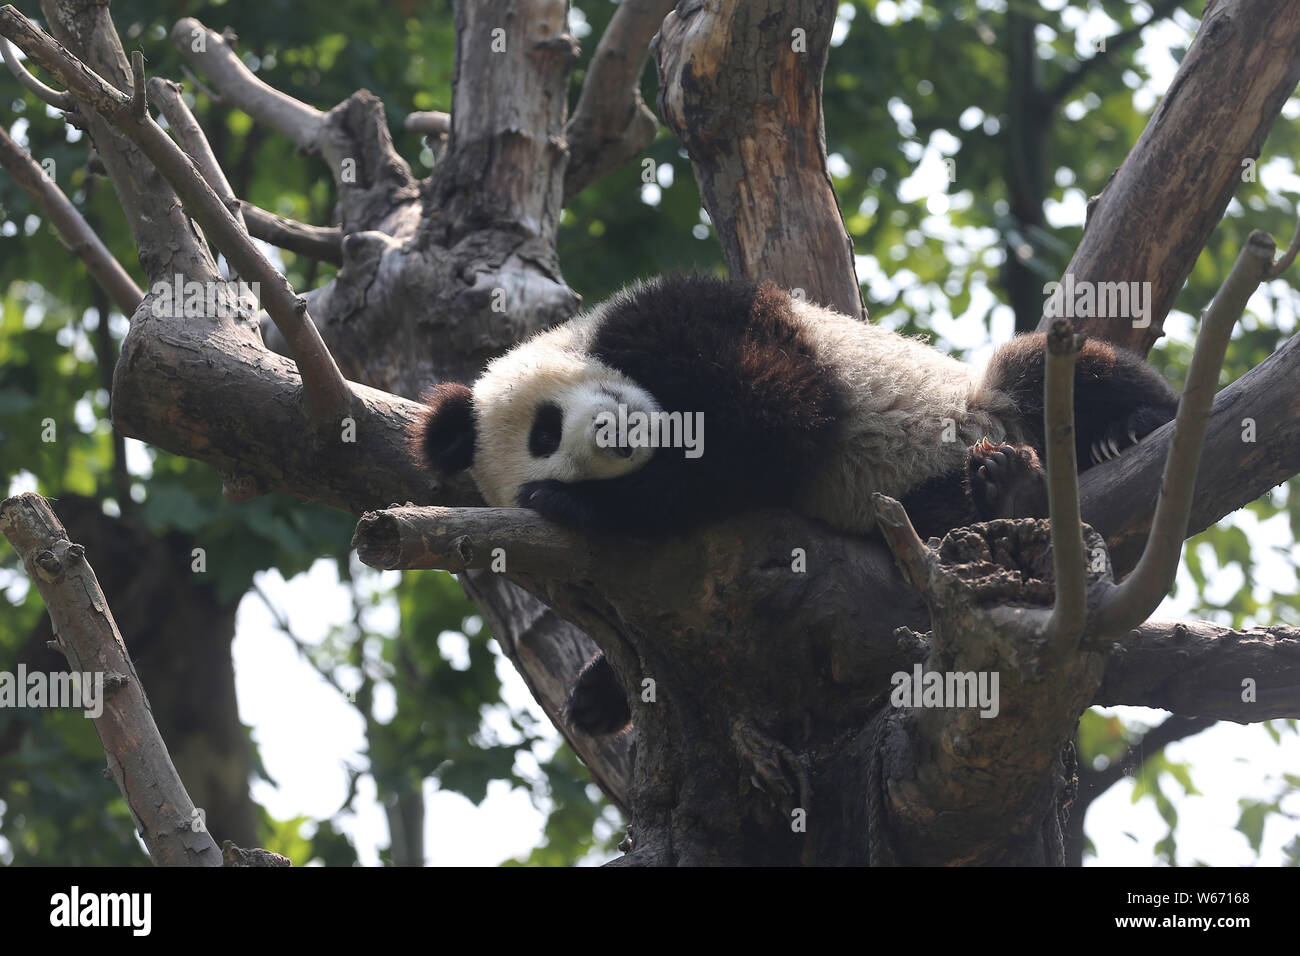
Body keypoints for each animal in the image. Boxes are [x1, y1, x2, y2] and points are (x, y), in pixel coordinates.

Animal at [413, 274, 1179, 733]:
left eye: (543, 430)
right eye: (553, 451)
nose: (615, 438)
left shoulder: (682, 315)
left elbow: (774, 410)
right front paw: (598, 692)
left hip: (988, 404)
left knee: (1046, 372)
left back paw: (1125, 430)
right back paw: (992, 491)